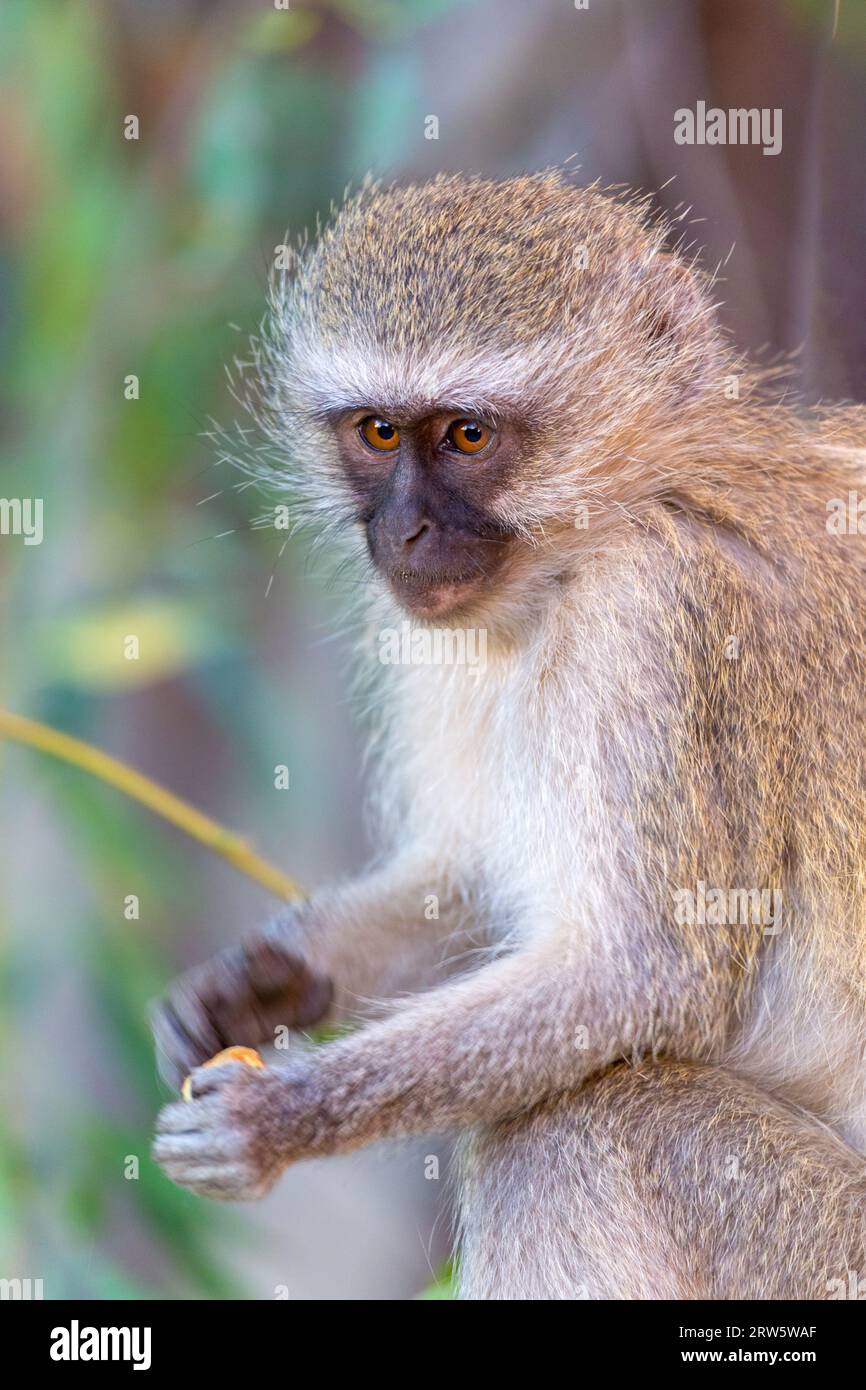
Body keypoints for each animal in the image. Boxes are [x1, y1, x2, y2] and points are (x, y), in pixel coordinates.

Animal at [152, 170, 866, 1300]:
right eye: (379, 433)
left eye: (468, 436)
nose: (402, 534)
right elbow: (476, 882)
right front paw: (256, 984)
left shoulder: (651, 619)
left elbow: (635, 975)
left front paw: (283, 1115)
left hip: (820, 1246)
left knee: (576, 1125)